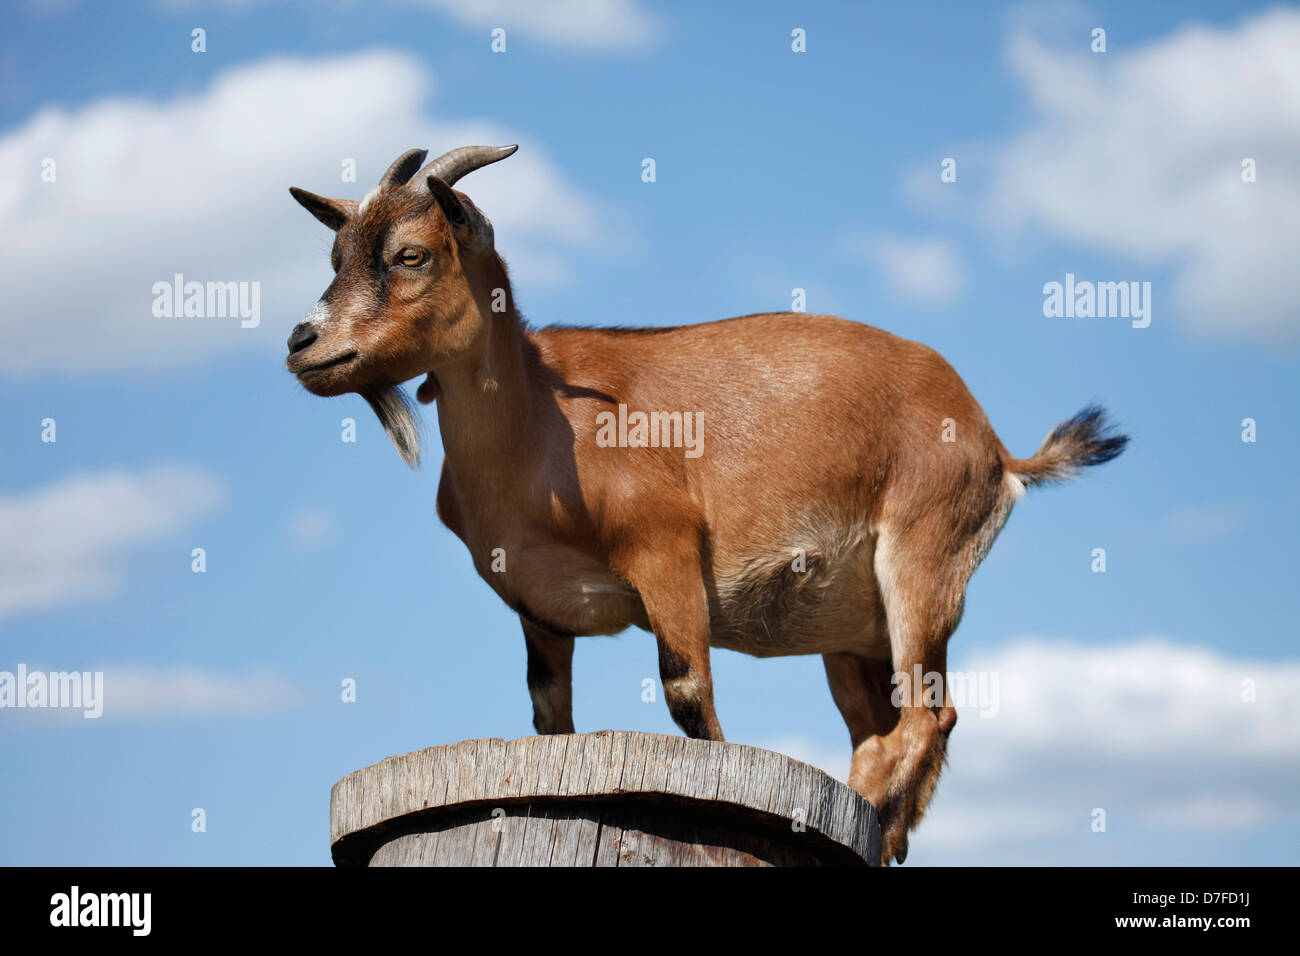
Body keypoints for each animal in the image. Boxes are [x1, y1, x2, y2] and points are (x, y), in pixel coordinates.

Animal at [287, 146, 1128, 864]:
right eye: (335, 256)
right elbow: (549, 720)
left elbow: (687, 692)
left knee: (927, 716)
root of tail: (996, 445)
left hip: (924, 558)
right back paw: (882, 828)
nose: (303, 342)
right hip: (855, 630)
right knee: (886, 725)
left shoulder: (667, 553)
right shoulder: (539, 610)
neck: (538, 424)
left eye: (412, 255)